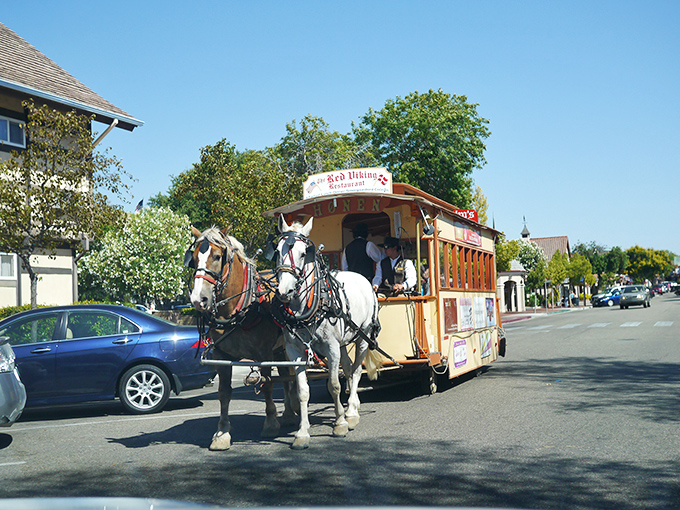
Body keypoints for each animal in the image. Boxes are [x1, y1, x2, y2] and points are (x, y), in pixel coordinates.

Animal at [186, 225, 297, 451]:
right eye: (193, 259)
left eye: (217, 256)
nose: (198, 300)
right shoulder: (221, 355)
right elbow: (224, 392)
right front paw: (221, 433)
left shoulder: (263, 353)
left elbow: (267, 384)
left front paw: (270, 423)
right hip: (279, 349)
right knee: (285, 375)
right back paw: (289, 414)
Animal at [272, 215, 382, 449]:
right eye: (276, 251)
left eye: (303, 253)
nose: (284, 291)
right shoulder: (295, 351)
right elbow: (303, 391)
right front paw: (302, 432)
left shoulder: (331, 348)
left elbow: (334, 385)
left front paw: (340, 423)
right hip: (343, 342)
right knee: (348, 368)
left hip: (363, 336)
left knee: (357, 371)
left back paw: (351, 411)